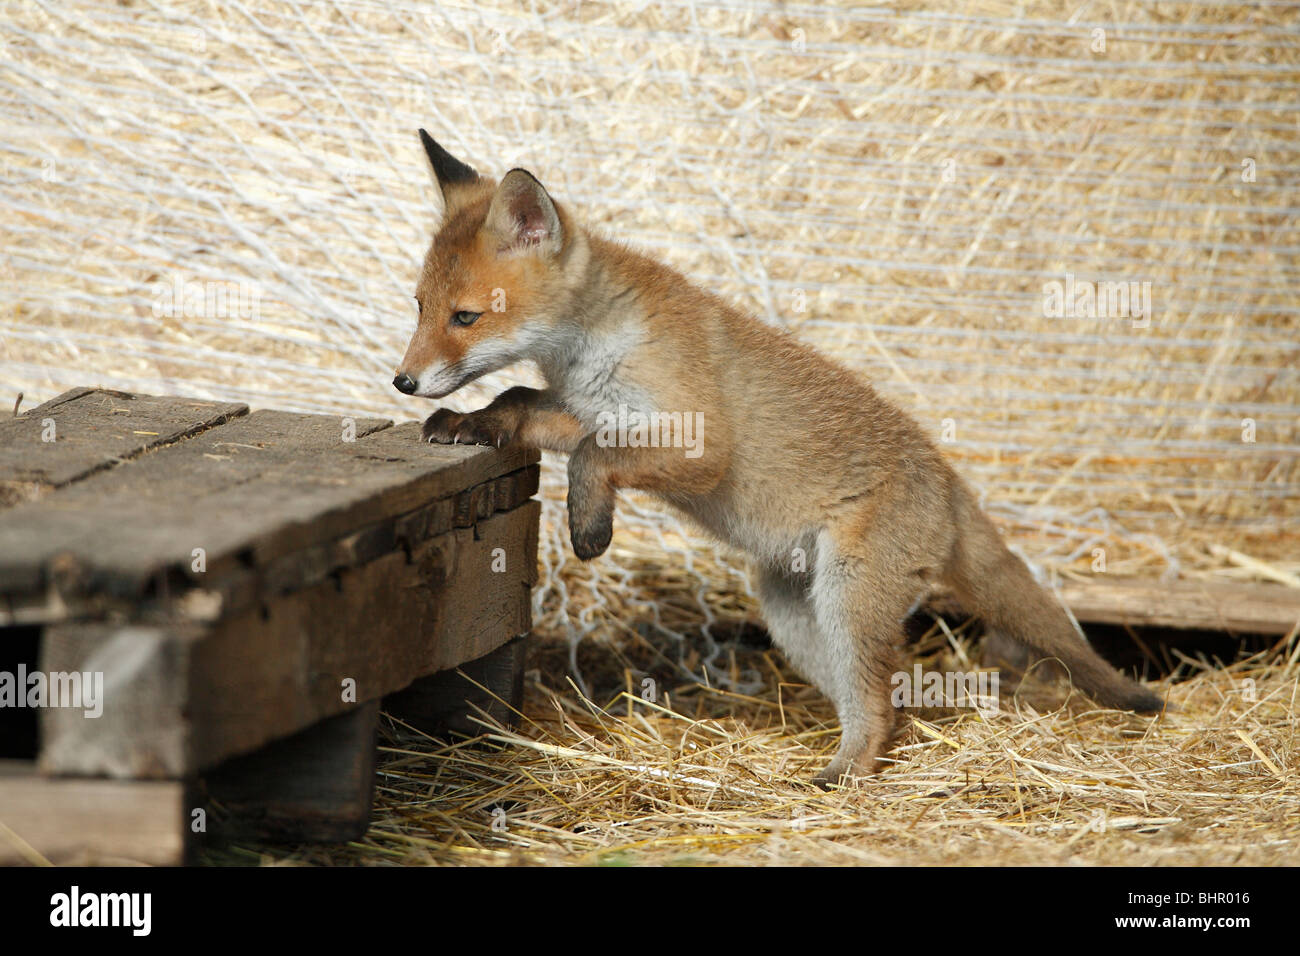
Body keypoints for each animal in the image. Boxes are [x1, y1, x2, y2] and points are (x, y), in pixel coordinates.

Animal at [394, 129, 1165, 788]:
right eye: (420, 306)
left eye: (466, 317)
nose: (403, 381)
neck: (594, 346)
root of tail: (949, 481)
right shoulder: (586, 406)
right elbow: (522, 400)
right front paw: (468, 424)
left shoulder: (697, 443)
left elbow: (590, 457)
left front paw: (588, 526)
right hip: (796, 611)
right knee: (885, 704)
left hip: (848, 599)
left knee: (881, 705)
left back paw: (843, 774)